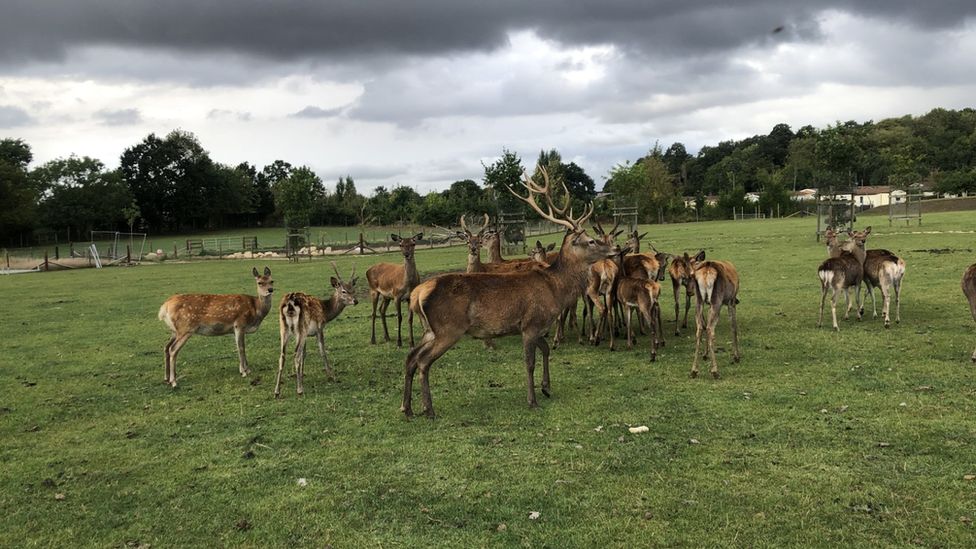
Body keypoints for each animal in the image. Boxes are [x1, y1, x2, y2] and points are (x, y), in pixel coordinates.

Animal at [274, 263, 359, 398]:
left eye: (353, 289)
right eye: (343, 291)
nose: (355, 301)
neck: (326, 312)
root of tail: (290, 301)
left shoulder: (305, 335)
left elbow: (304, 354)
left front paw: (301, 375)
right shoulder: (319, 328)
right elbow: (322, 351)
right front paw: (331, 376)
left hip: (284, 328)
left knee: (282, 356)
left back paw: (277, 391)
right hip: (301, 327)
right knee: (295, 355)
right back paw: (299, 389)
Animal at [401, 166, 619, 418]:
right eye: (591, 241)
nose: (615, 248)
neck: (555, 288)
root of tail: (417, 293)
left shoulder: (537, 327)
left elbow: (546, 350)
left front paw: (546, 388)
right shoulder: (531, 323)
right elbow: (529, 362)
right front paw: (532, 400)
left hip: (430, 329)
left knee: (411, 356)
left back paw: (407, 407)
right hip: (448, 328)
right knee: (423, 361)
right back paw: (428, 408)